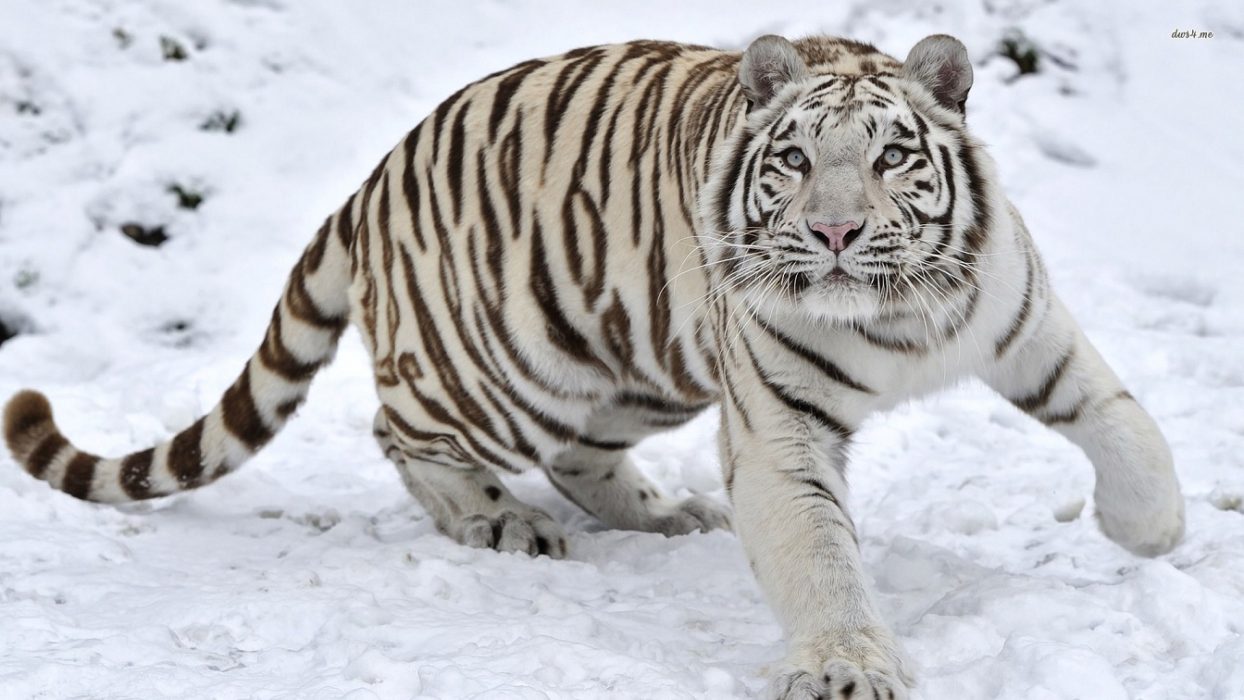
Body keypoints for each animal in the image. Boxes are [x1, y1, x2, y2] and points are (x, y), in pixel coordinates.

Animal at [3, 33, 1185, 698]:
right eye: (796, 160)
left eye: (893, 155)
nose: (837, 232)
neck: (895, 317)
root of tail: (372, 179)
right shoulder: (778, 429)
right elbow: (821, 556)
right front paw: (847, 664)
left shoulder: (1024, 324)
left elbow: (1123, 419)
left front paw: (1151, 533)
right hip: (497, 370)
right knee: (399, 428)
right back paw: (500, 523)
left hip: (631, 364)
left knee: (580, 455)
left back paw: (663, 514)